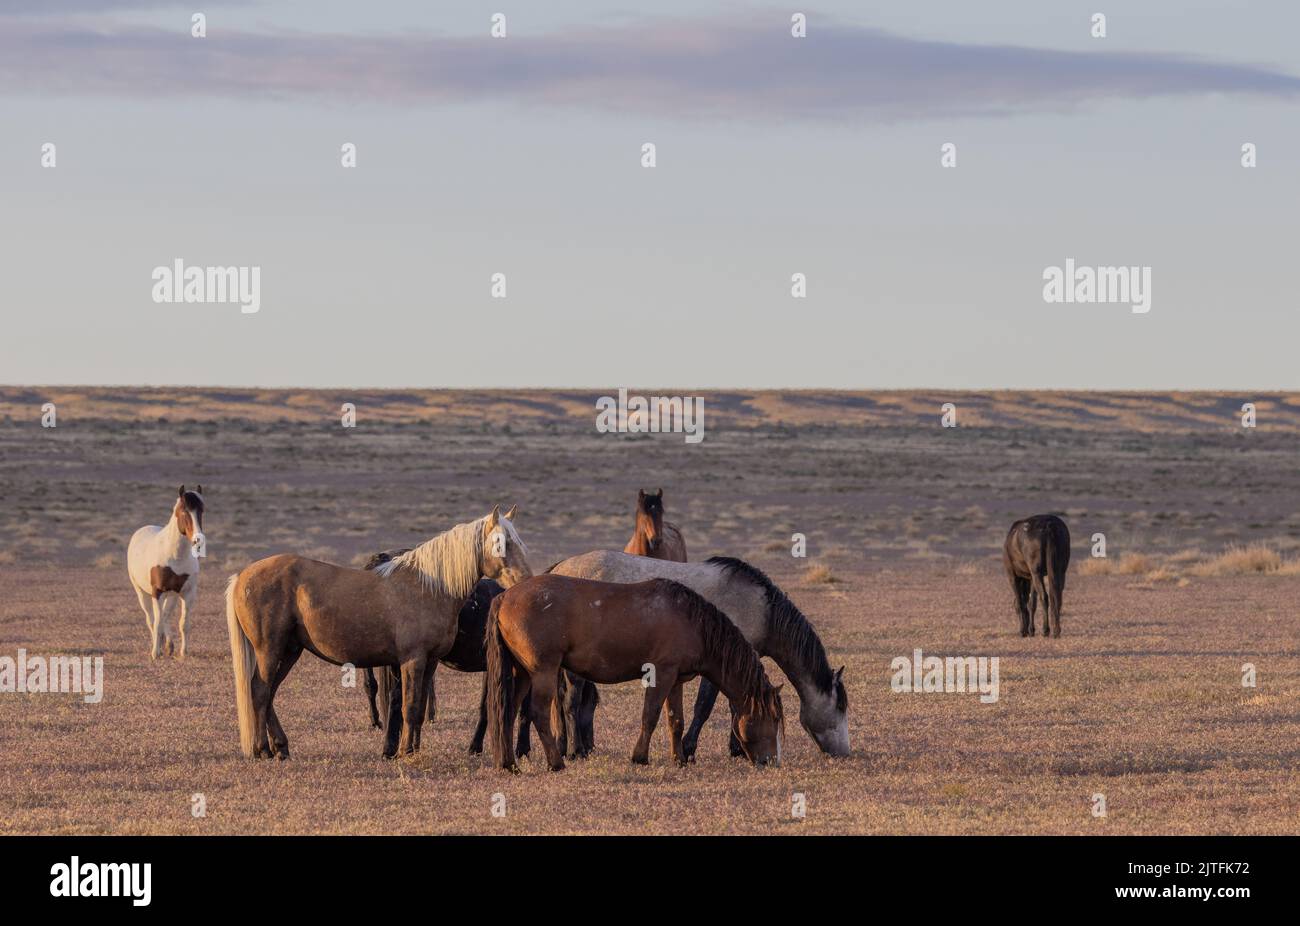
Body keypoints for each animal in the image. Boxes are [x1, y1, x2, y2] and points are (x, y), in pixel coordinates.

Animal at [127, 485, 206, 660]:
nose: (198, 540)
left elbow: (183, 623)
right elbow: (156, 623)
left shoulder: (187, 593)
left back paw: (168, 645)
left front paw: (183, 652)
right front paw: (155, 653)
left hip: (172, 595)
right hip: (142, 593)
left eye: (202, 510)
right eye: (184, 511)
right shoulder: (157, 592)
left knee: (165, 616)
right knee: (152, 619)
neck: (175, 556)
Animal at [225, 506, 530, 759]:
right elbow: (409, 707)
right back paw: (263, 749)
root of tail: (242, 577)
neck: (429, 586)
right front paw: (405, 751)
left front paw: (411, 749)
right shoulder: (412, 660)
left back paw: (281, 747)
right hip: (270, 650)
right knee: (260, 691)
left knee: (269, 693)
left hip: (289, 651)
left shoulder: (430, 662)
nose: (525, 580)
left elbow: (419, 709)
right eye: (501, 543)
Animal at [486, 574, 784, 772]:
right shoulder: (661, 674)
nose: (770, 761)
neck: (692, 622)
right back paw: (556, 763)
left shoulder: (675, 680)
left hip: (522, 674)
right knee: (537, 713)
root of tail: (504, 596)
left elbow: (675, 720)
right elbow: (650, 716)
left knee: (507, 712)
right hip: (543, 673)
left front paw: (679, 760)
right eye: (771, 717)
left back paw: (509, 763)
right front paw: (640, 757)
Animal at [548, 551, 849, 758]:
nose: (845, 753)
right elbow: (704, 707)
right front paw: (690, 749)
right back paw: (575, 750)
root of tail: (561, 566)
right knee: (570, 701)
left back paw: (564, 746)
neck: (760, 607)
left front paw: (736, 748)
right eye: (841, 708)